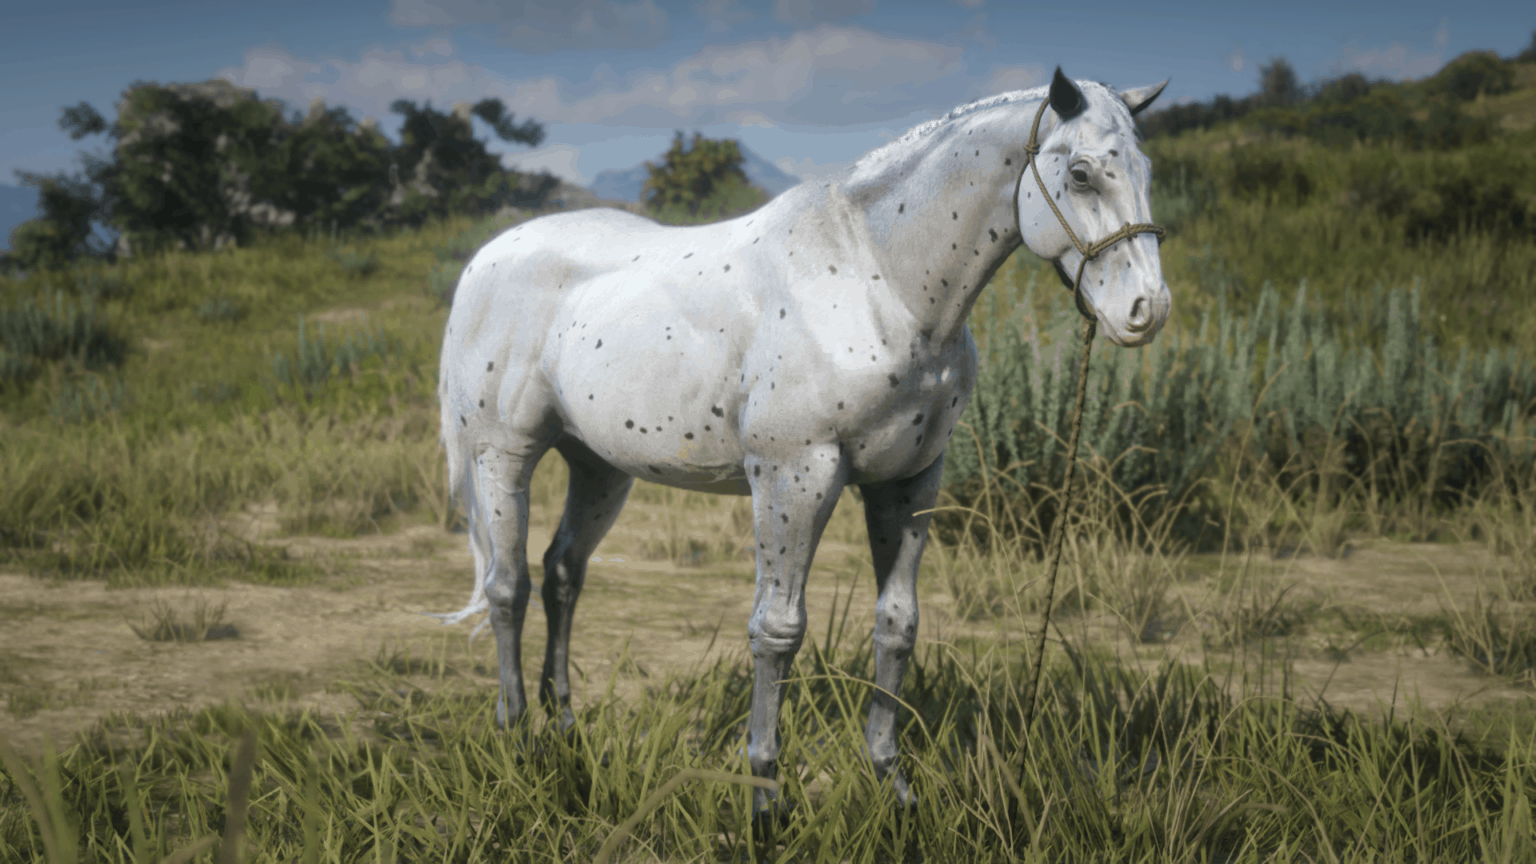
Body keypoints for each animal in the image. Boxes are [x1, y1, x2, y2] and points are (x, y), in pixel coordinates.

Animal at [432, 67, 1171, 816]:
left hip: (600, 467)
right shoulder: (796, 476)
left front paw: (891, 786)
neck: (879, 281)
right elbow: (778, 630)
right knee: (508, 587)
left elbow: (897, 625)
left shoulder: (909, 481)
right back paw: (516, 736)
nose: (1147, 311)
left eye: (1145, 170)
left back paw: (565, 728)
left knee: (562, 575)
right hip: (503, 456)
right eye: (1079, 173)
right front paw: (764, 796)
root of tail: (486, 259)